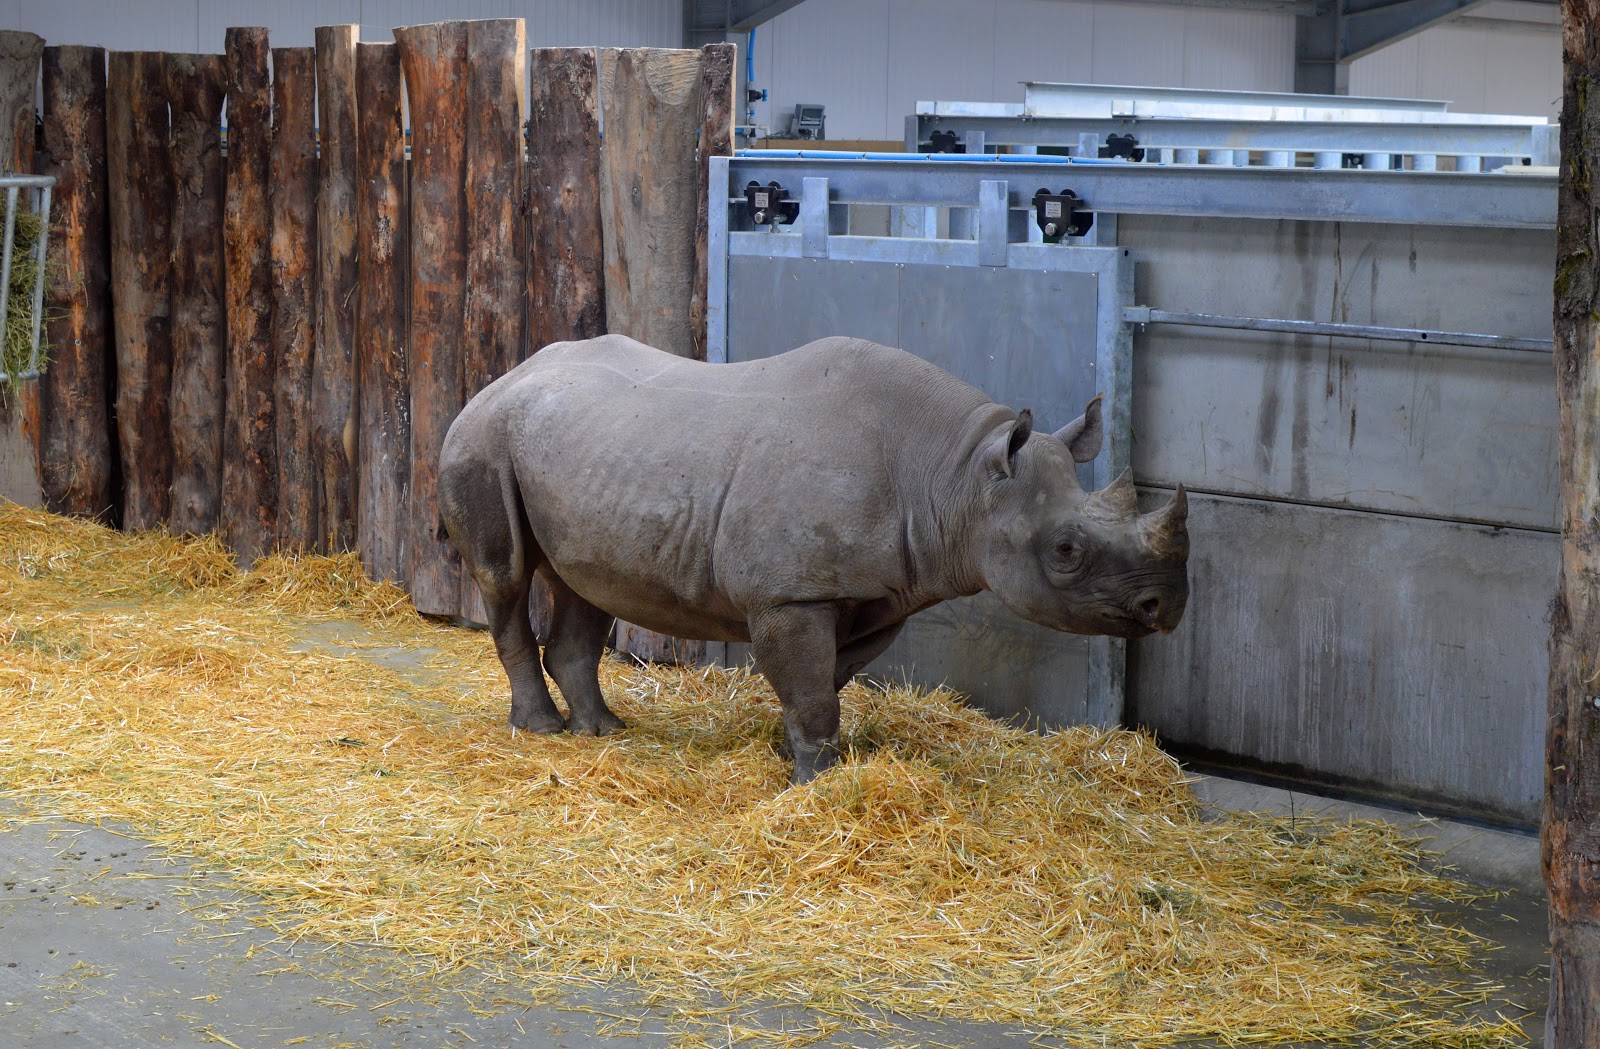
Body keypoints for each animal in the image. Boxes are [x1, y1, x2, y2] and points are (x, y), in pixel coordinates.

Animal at [438, 335, 1189, 784]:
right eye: (1066, 550)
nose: (1167, 606)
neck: (956, 478)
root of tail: (506, 374)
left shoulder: (879, 592)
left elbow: (825, 683)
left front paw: (794, 754)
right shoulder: (790, 594)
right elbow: (811, 688)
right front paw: (816, 785)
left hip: (579, 443)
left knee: (585, 583)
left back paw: (604, 732)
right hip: (482, 439)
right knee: (505, 577)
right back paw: (541, 732)